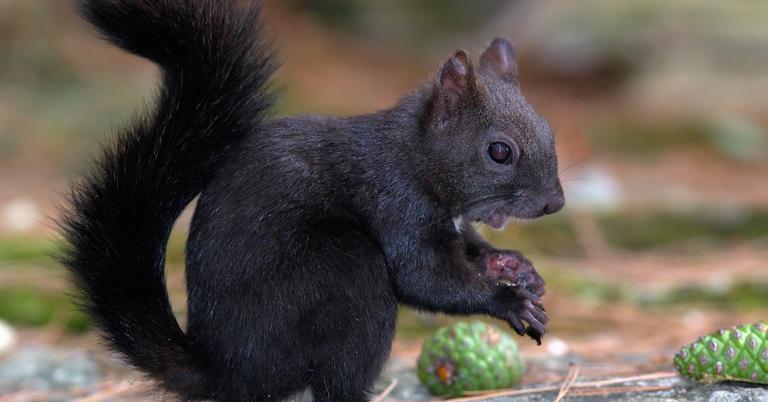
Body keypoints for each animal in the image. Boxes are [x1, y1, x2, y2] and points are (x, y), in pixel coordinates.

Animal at [58, 1, 565, 401]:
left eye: (549, 129)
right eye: (499, 151)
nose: (555, 203)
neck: (416, 158)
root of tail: (229, 373)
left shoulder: (455, 226)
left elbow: (472, 250)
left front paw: (517, 266)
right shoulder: (396, 204)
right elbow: (424, 278)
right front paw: (509, 301)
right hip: (345, 274)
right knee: (337, 380)